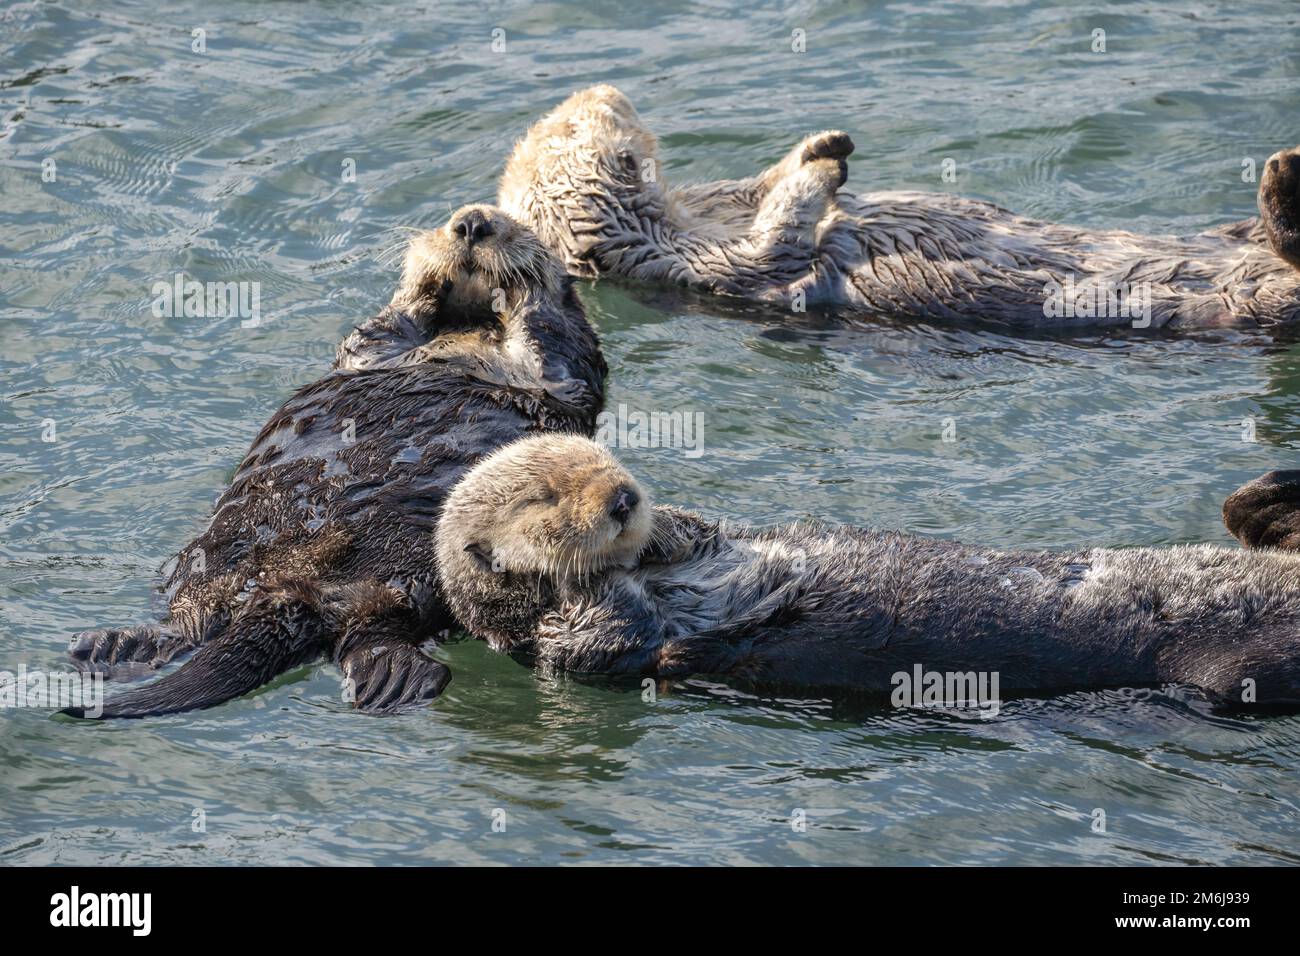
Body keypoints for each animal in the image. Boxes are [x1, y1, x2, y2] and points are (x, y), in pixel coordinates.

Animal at [63, 206, 606, 719]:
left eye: (517, 223)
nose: (472, 223)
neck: (474, 332)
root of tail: (286, 590)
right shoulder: (377, 349)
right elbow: (381, 329)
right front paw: (426, 281)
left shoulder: (565, 370)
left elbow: (547, 337)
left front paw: (523, 287)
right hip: (207, 562)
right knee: (189, 621)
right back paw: (113, 647)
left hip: (404, 582)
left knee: (366, 637)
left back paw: (393, 682)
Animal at [435, 435, 1300, 710]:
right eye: (542, 498)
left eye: (606, 460)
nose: (623, 497)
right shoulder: (567, 651)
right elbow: (604, 632)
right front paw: (593, 575)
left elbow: (702, 532)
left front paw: (664, 526)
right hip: (1239, 667)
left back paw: (1272, 489)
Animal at [499, 85, 1300, 330]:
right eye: (572, 127)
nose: (608, 90)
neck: (685, 220)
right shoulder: (694, 265)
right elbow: (776, 242)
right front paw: (822, 170)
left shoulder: (714, 202)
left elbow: (757, 188)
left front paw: (821, 145)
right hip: (1246, 301)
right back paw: (1283, 186)